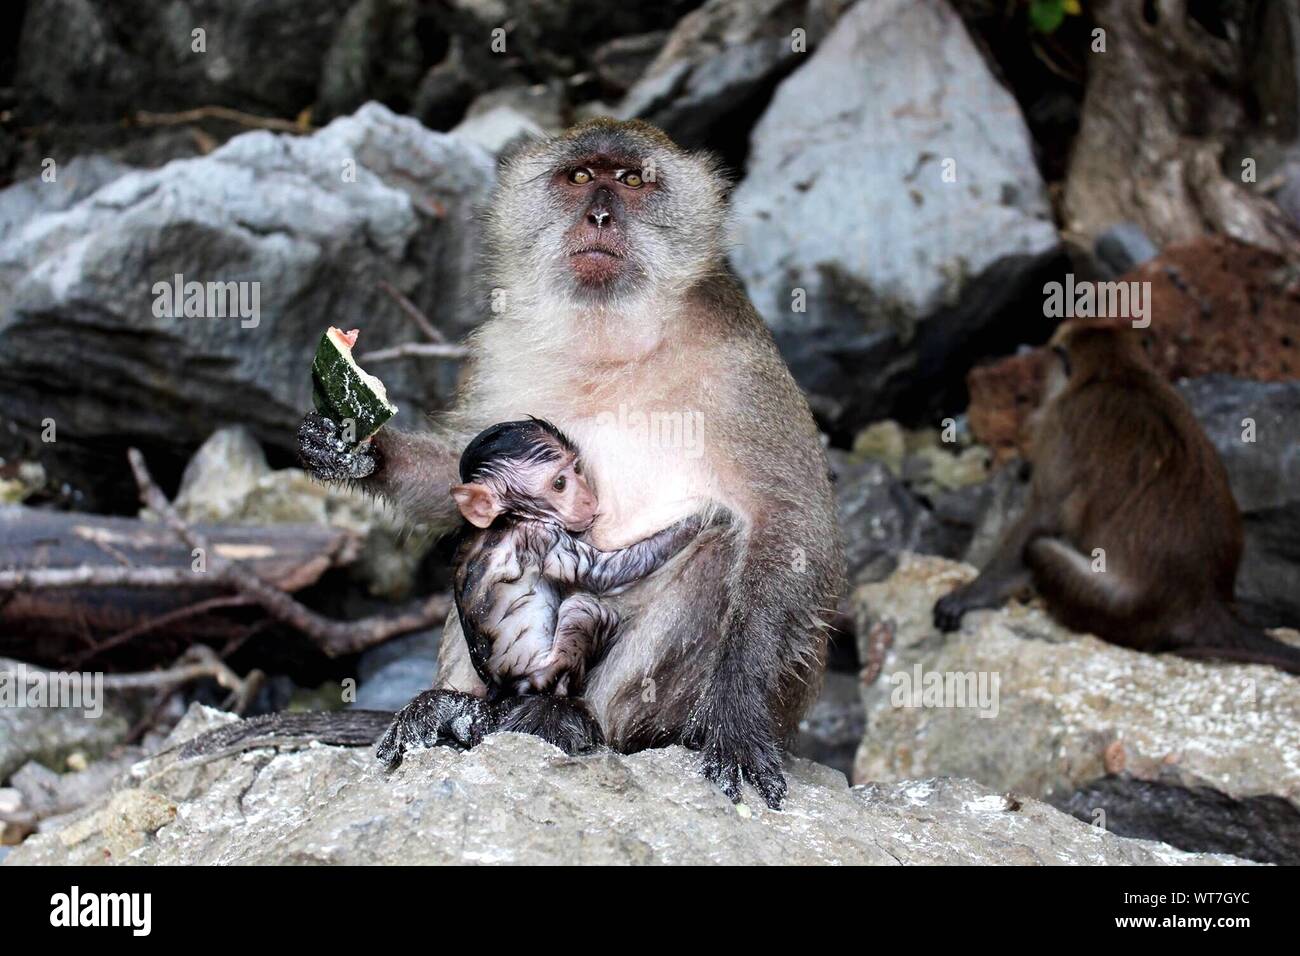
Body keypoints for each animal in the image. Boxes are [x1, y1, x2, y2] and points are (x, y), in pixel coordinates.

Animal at [446, 416, 728, 700]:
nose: (588, 499)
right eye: (560, 484)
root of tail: (503, 688)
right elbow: (604, 573)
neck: (508, 517)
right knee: (585, 608)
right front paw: (702, 519)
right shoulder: (541, 538)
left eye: (577, 468)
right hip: (549, 673)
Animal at [933, 318, 1300, 675]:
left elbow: (1042, 514)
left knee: (1039, 548)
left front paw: (970, 595)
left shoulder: (1060, 424)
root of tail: (1208, 602)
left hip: (1114, 604)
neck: (1117, 372)